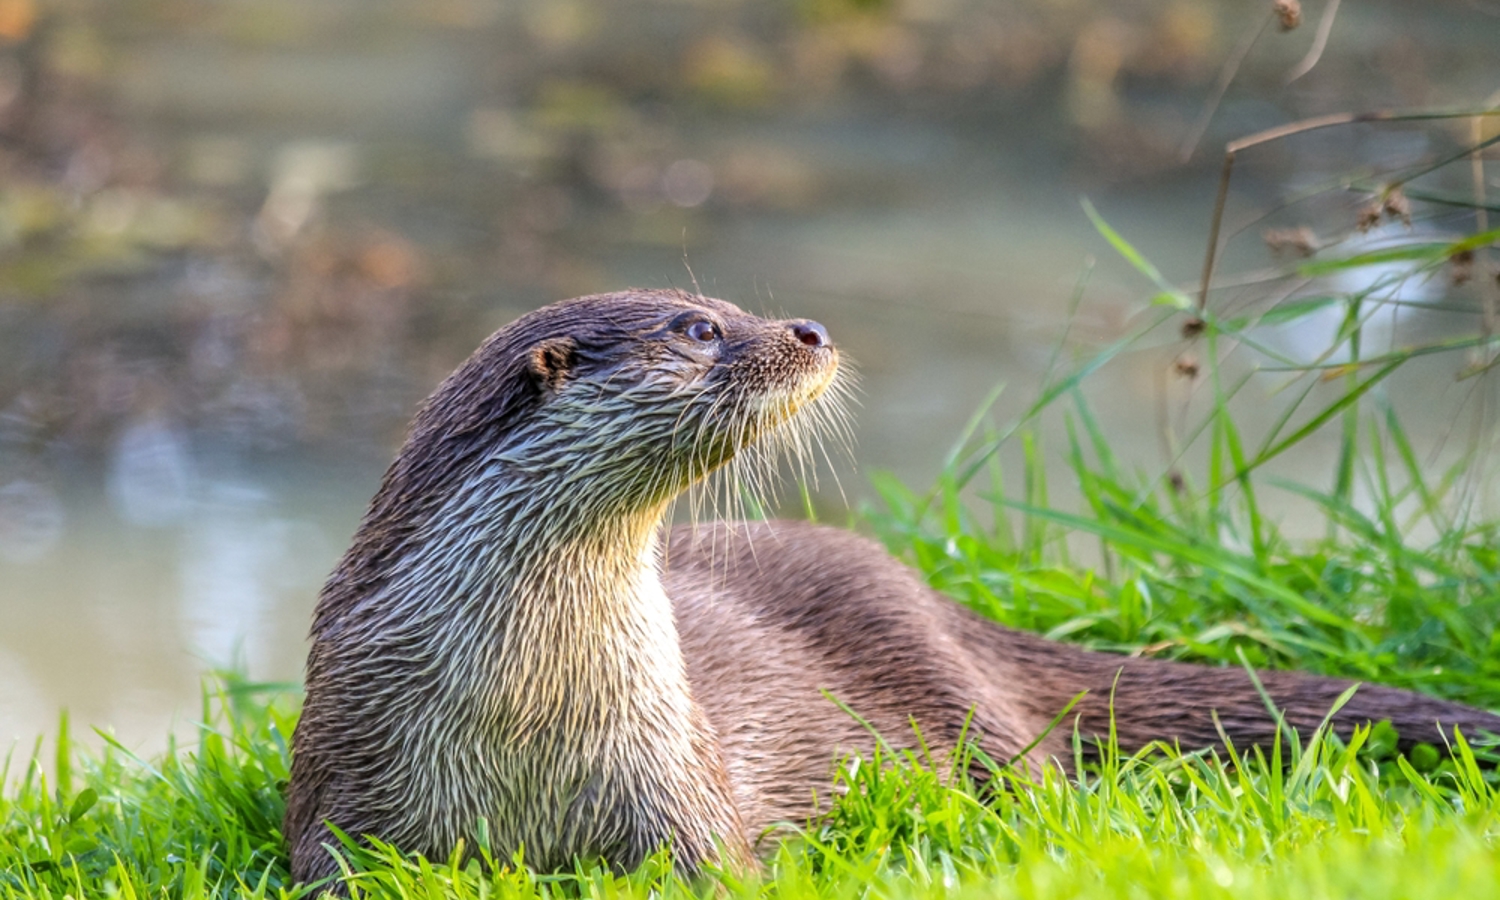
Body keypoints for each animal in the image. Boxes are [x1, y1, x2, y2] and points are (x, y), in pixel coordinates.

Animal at [286, 288, 1500, 884]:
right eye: (698, 327)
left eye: (717, 299)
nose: (809, 330)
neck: (526, 703)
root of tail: (930, 594)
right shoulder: (345, 769)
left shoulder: (670, 767)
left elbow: (718, 864)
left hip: (967, 706)